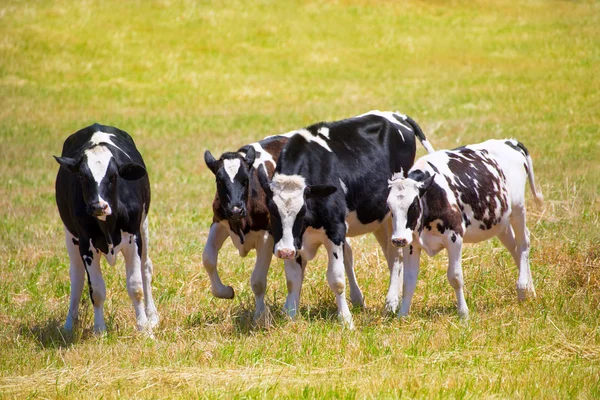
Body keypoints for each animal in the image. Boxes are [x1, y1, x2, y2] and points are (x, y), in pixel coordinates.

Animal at [54, 122, 158, 334]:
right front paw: (100, 330)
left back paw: (152, 316)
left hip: (143, 226)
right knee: (77, 277)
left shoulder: (134, 238)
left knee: (146, 268)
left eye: (114, 175)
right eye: (82, 176)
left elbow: (136, 286)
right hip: (70, 237)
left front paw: (144, 329)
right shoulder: (86, 245)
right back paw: (69, 325)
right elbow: (97, 290)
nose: (98, 206)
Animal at [203, 136, 366, 318]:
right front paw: (224, 291)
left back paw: (357, 297)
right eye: (219, 180)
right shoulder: (219, 222)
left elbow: (258, 280)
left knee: (346, 254)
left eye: (245, 180)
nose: (236, 209)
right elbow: (208, 259)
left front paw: (260, 316)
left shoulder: (267, 236)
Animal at [258, 110, 436, 328]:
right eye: (273, 211)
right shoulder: (295, 240)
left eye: (301, 211)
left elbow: (337, 279)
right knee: (391, 253)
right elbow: (293, 280)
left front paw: (346, 320)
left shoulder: (335, 230)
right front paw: (291, 317)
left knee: (397, 255)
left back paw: (391, 303)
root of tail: (396, 115)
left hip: (396, 215)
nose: (283, 252)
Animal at [386, 138, 548, 318]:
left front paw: (463, 313)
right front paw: (402, 315)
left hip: (518, 209)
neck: (433, 194)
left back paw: (522, 287)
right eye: (389, 207)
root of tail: (509, 142)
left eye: (413, 205)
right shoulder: (412, 244)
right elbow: (408, 281)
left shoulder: (454, 238)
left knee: (524, 243)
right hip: (500, 221)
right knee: (515, 248)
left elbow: (455, 277)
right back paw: (530, 290)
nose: (398, 239)